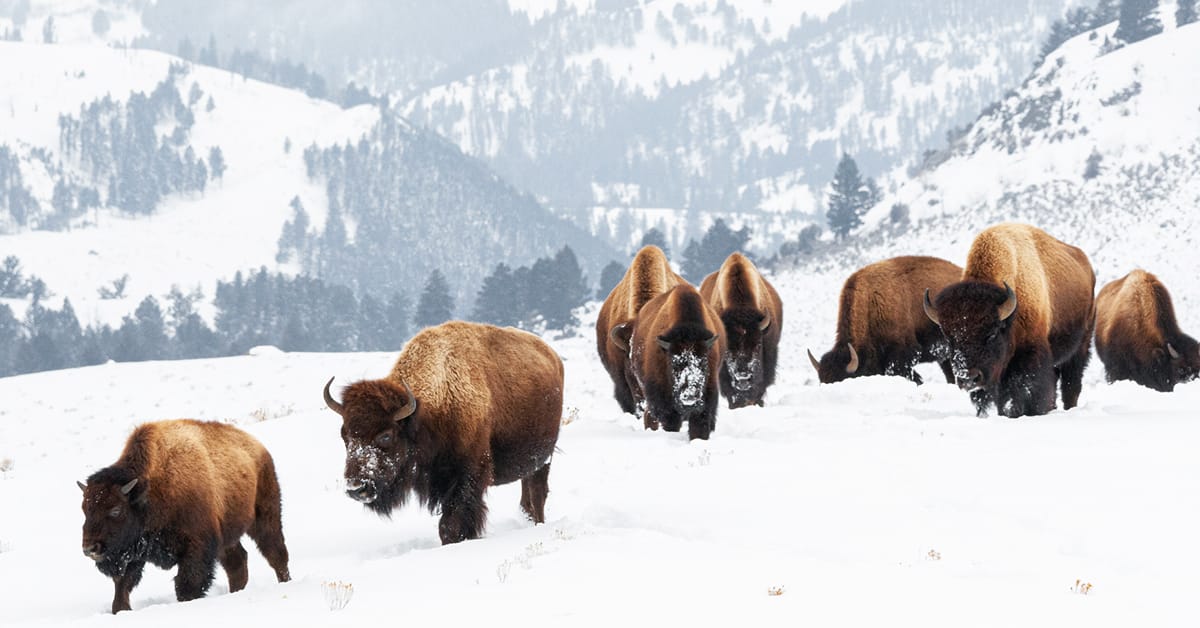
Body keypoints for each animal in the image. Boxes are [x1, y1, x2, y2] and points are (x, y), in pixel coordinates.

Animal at [79, 420, 291, 614]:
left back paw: (285, 581)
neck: (150, 490)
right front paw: (121, 609)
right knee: (238, 562)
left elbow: (187, 585)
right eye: (84, 509)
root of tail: (260, 448)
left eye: (115, 510)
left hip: (265, 517)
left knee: (276, 554)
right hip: (226, 536)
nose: (90, 548)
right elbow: (122, 585)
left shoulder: (196, 547)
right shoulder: (133, 552)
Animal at [324, 321, 563, 543]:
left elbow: (451, 522)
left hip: (544, 458)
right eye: (345, 436)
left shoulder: (467, 476)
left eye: (385, 435)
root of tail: (553, 356)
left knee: (537, 493)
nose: (356, 488)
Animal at [612, 284, 724, 440]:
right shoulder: (663, 400)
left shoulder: (708, 395)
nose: (690, 396)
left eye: (703, 362)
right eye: (674, 363)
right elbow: (670, 421)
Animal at [922, 223, 1095, 417]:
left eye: (991, 334)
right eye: (949, 338)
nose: (969, 379)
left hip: (1080, 346)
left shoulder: (1030, 356)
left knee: (1071, 384)